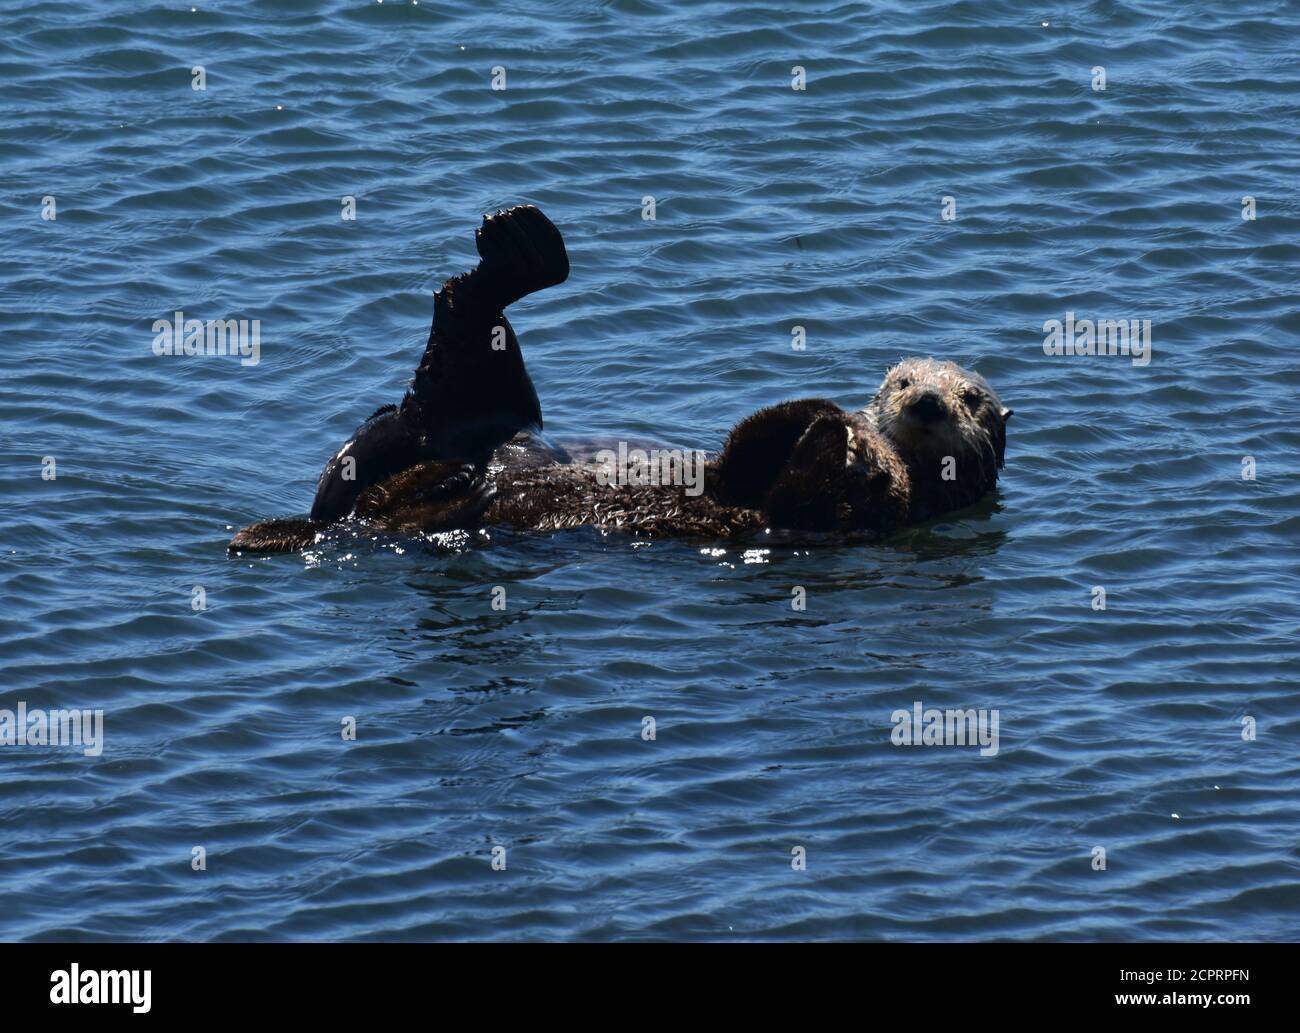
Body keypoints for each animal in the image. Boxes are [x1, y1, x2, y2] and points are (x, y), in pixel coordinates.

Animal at [228, 207, 1011, 553]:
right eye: (903, 379)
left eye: (971, 397)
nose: (930, 400)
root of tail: (357, 523)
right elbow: (747, 444)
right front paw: (822, 413)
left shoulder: (843, 515)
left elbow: (783, 486)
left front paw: (826, 430)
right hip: (472, 432)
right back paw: (521, 242)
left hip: (449, 423)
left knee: (449, 369)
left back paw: (518, 249)